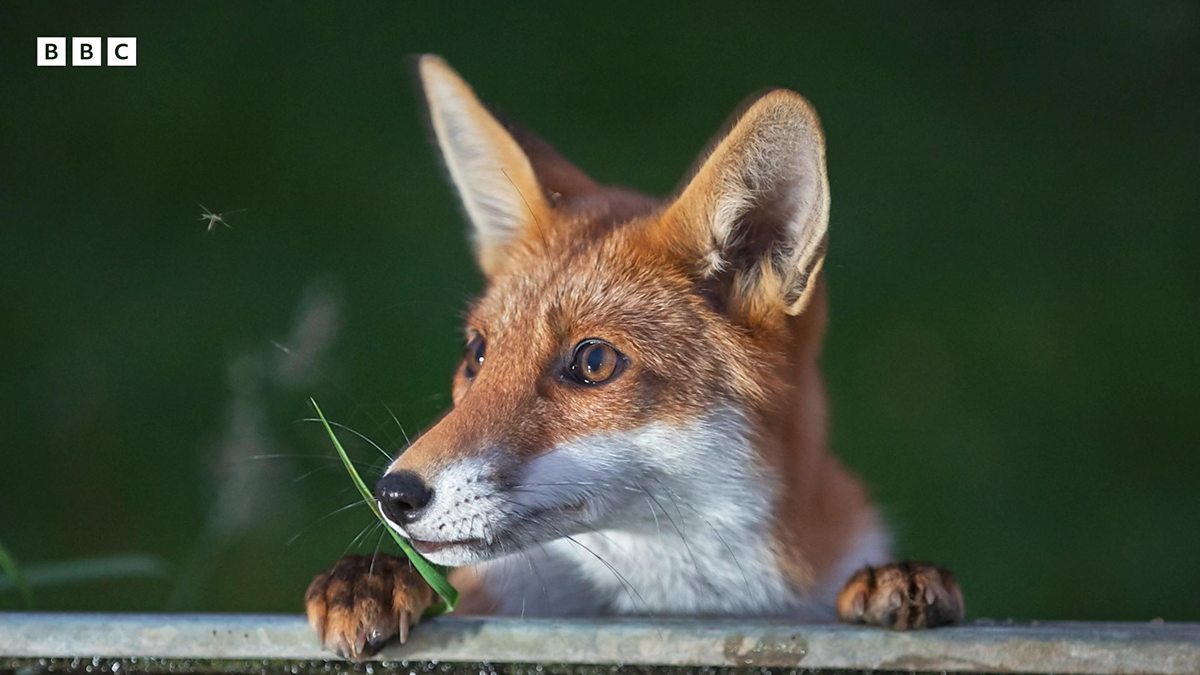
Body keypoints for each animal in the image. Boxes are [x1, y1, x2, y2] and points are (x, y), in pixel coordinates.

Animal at [305, 55, 964, 659]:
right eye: (477, 353)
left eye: (593, 362)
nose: (394, 494)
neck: (675, 603)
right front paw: (374, 579)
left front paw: (898, 585)